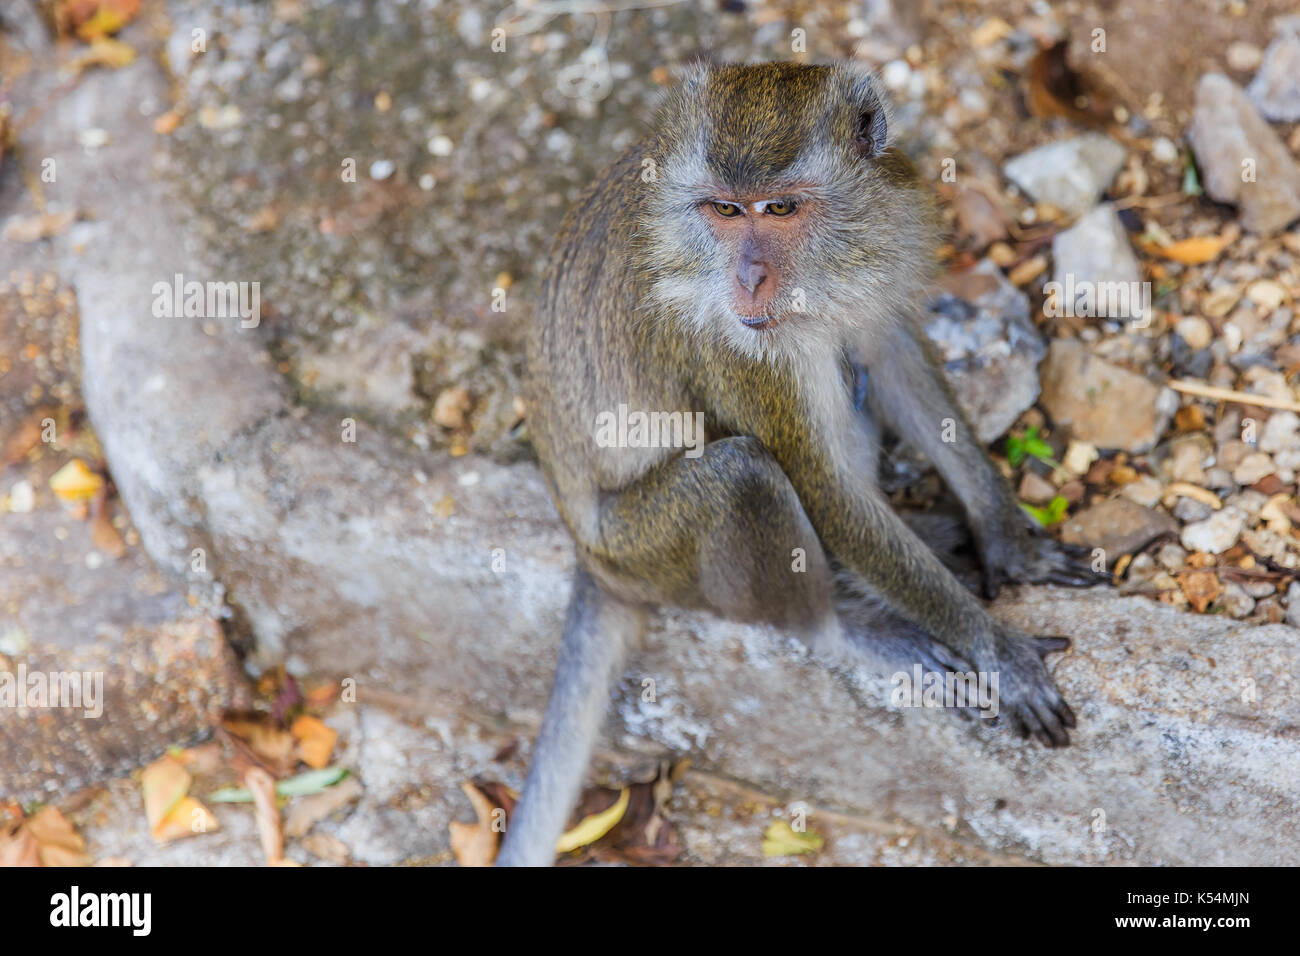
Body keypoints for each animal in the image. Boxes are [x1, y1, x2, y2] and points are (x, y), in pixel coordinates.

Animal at [496, 61, 1104, 867]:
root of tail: (588, 554)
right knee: (744, 474)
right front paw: (994, 648)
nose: (749, 278)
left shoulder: (894, 210)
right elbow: (822, 487)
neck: (831, 259)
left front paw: (1005, 535)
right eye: (724, 210)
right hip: (647, 552)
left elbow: (891, 349)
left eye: (779, 208)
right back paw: (841, 624)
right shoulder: (731, 343)